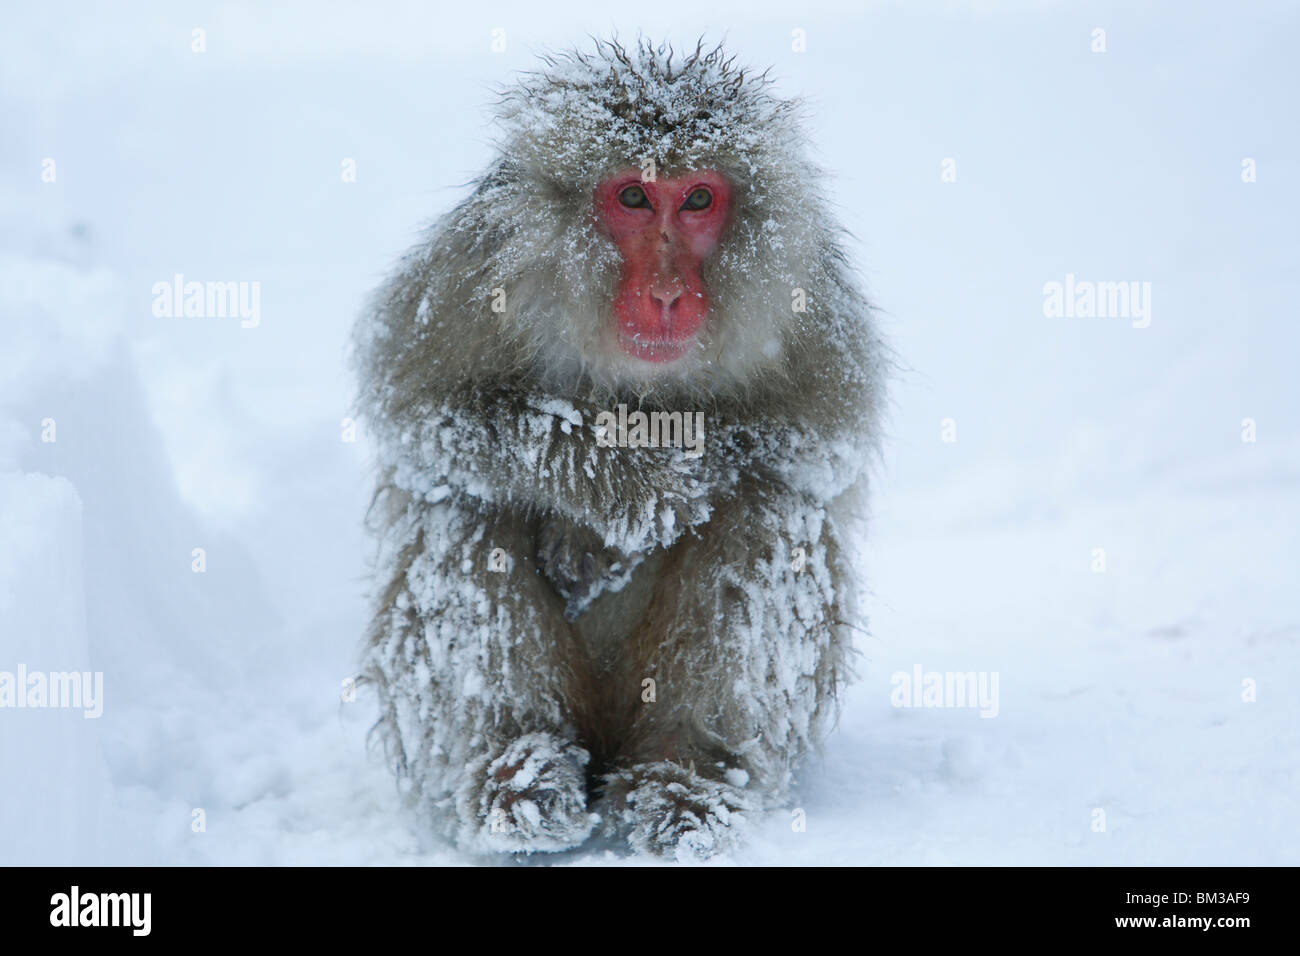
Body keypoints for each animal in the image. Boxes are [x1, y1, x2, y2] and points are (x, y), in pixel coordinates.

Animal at [352, 39, 886, 860]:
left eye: (697, 201)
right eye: (633, 198)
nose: (666, 293)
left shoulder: (805, 292)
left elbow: (828, 436)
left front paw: (675, 474)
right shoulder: (478, 263)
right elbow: (414, 406)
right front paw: (629, 487)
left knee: (767, 504)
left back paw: (688, 774)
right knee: (464, 502)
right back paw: (519, 770)